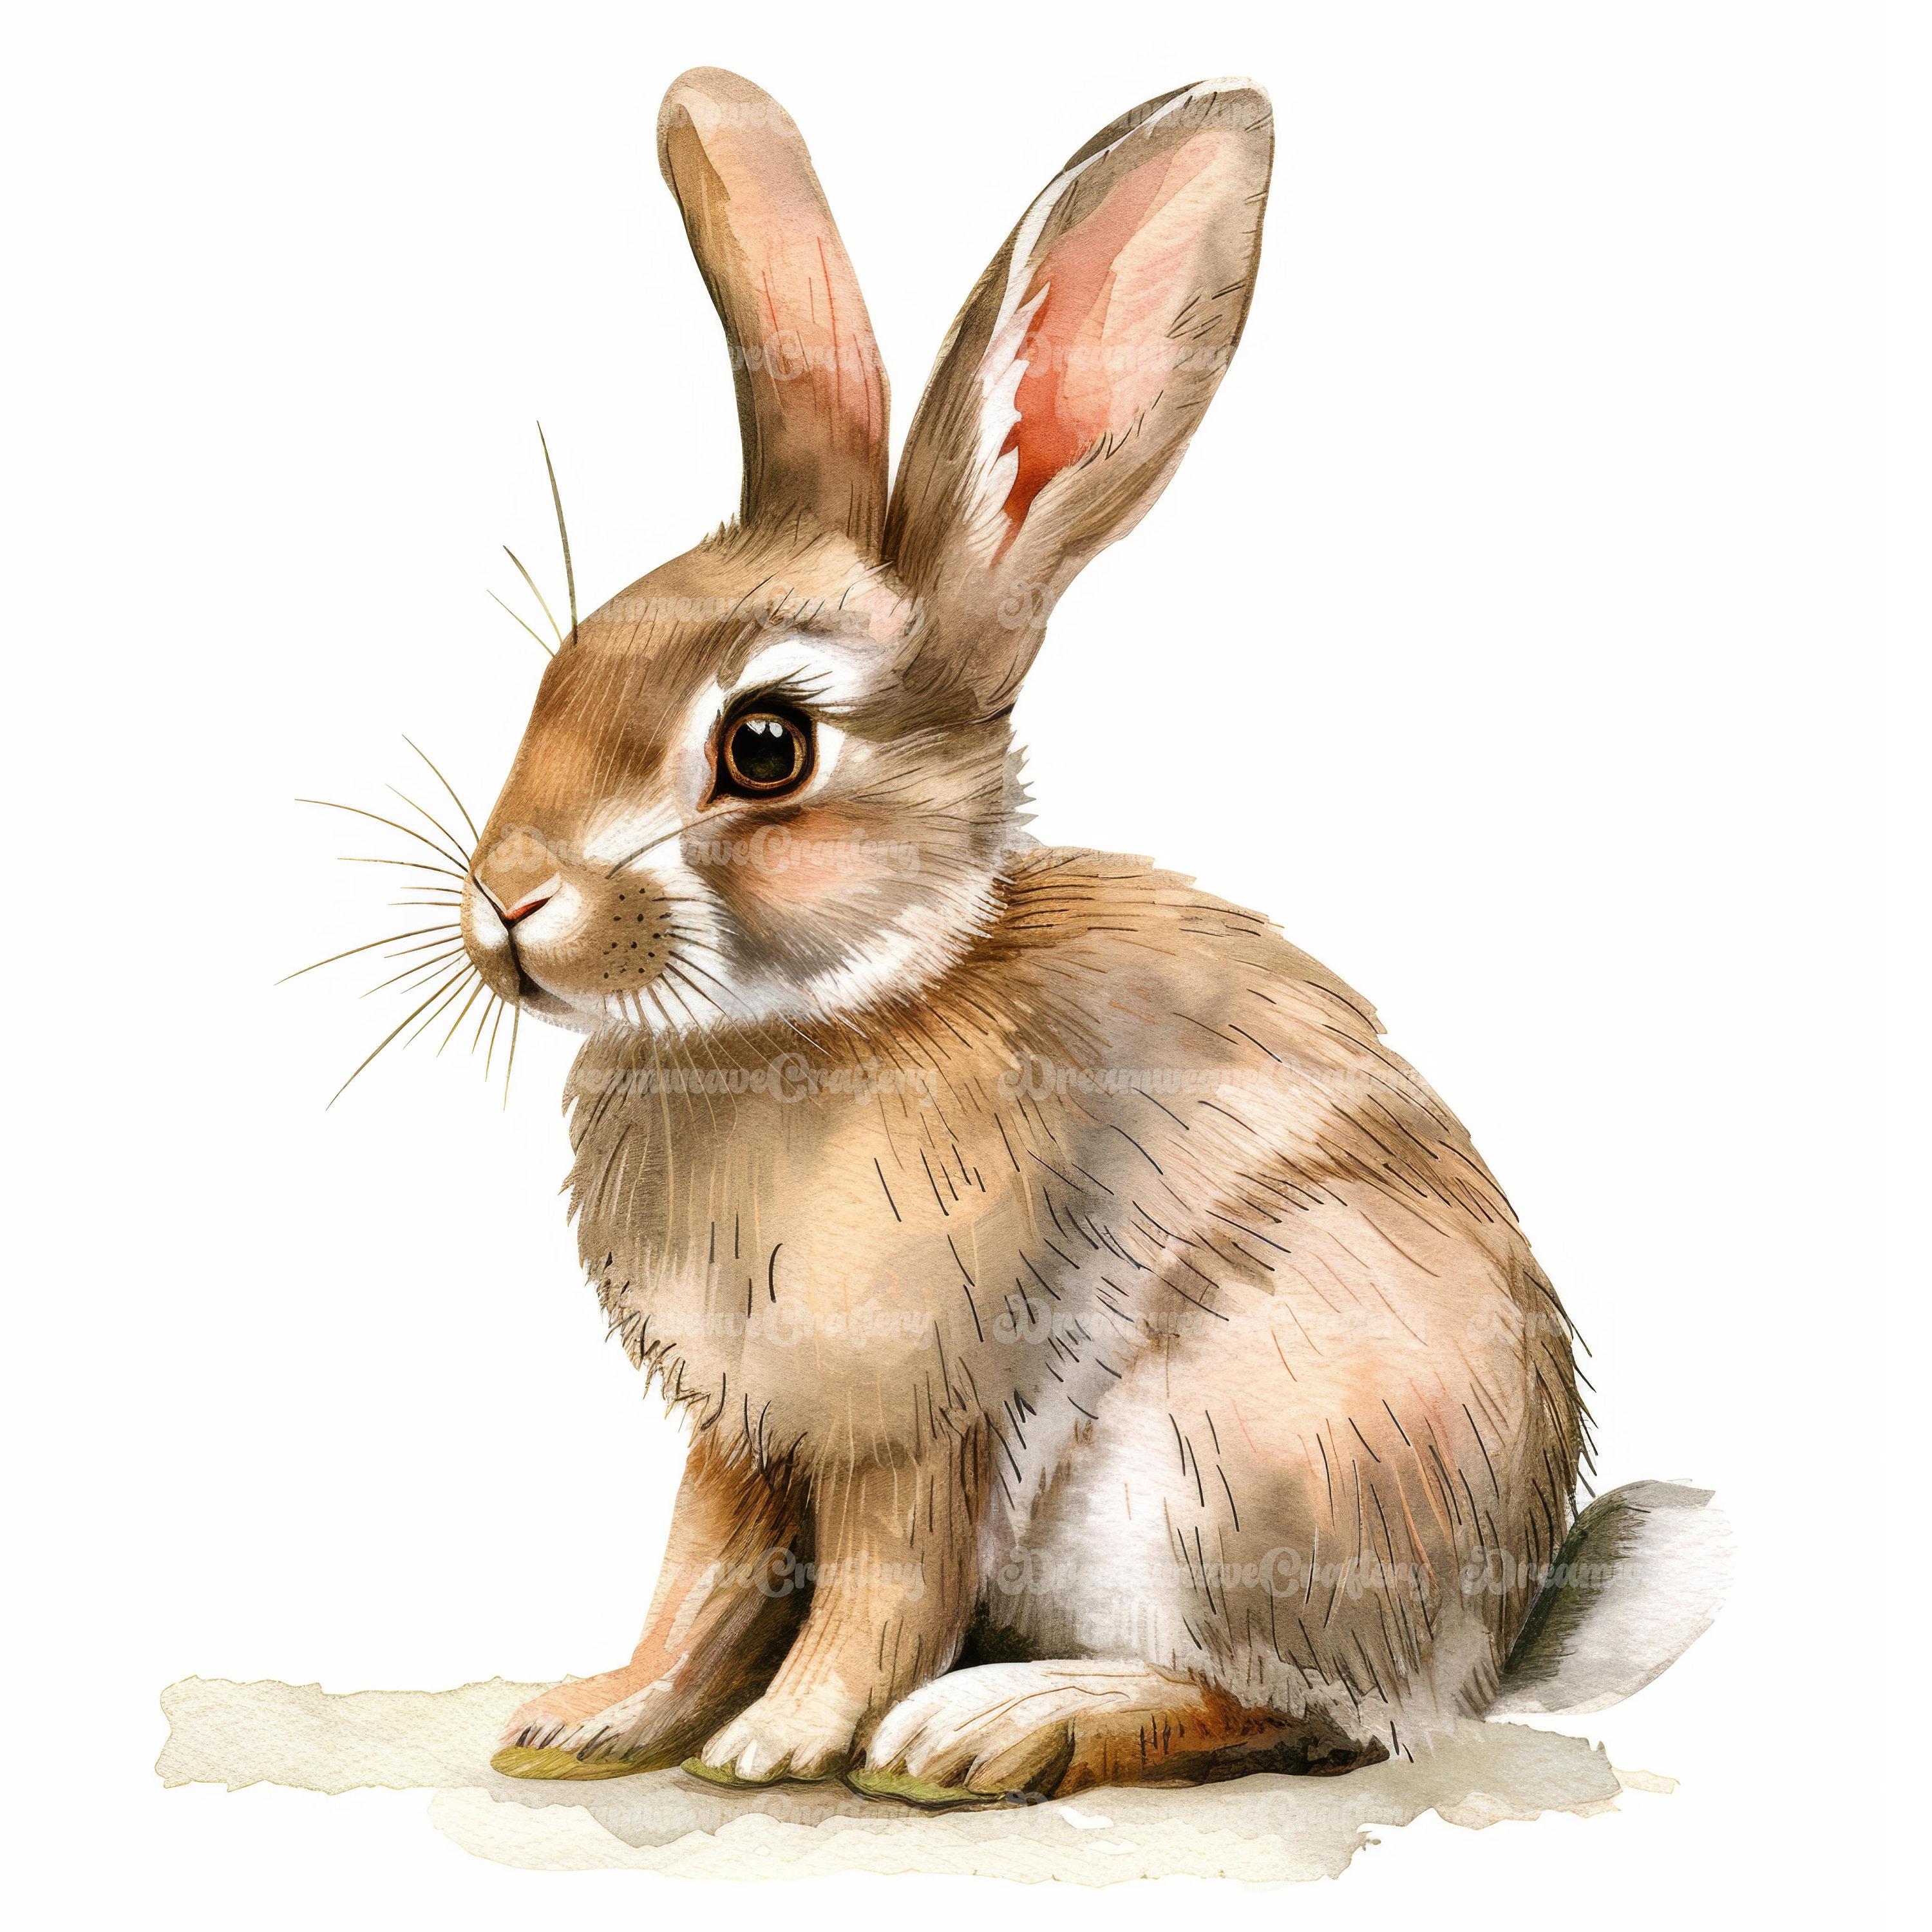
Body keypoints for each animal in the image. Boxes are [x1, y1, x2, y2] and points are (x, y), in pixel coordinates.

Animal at [456, 67, 1725, 1803]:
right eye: (564, 668)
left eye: (766, 746)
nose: (506, 903)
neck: (827, 1013)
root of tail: (1483, 1645)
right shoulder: (745, 1422)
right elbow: (702, 1572)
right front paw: (603, 1717)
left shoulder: (915, 1410)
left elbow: (876, 1589)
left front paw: (782, 1739)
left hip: (1233, 1461)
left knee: (1287, 1709)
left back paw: (996, 1725)